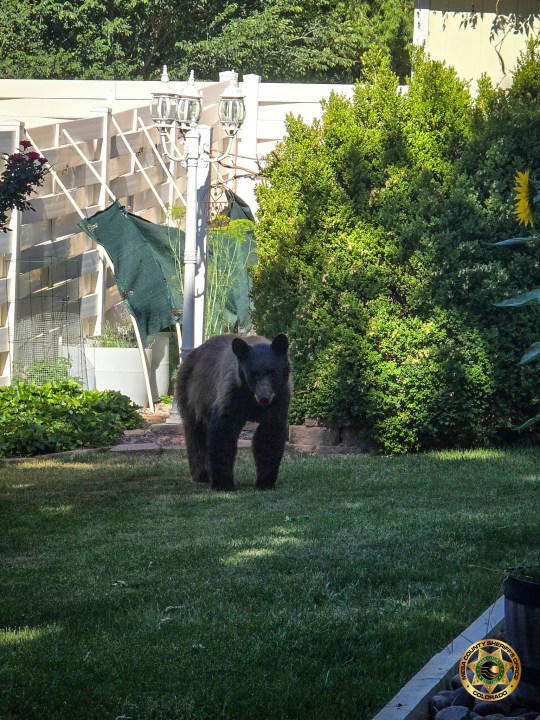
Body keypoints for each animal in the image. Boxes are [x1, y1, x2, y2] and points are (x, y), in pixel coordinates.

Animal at [176, 333, 291, 491]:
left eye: (272, 372)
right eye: (253, 375)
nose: (264, 398)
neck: (250, 397)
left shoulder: (279, 398)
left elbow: (269, 435)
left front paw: (265, 482)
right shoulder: (232, 393)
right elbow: (224, 431)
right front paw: (223, 484)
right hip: (193, 396)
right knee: (195, 434)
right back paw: (202, 475)